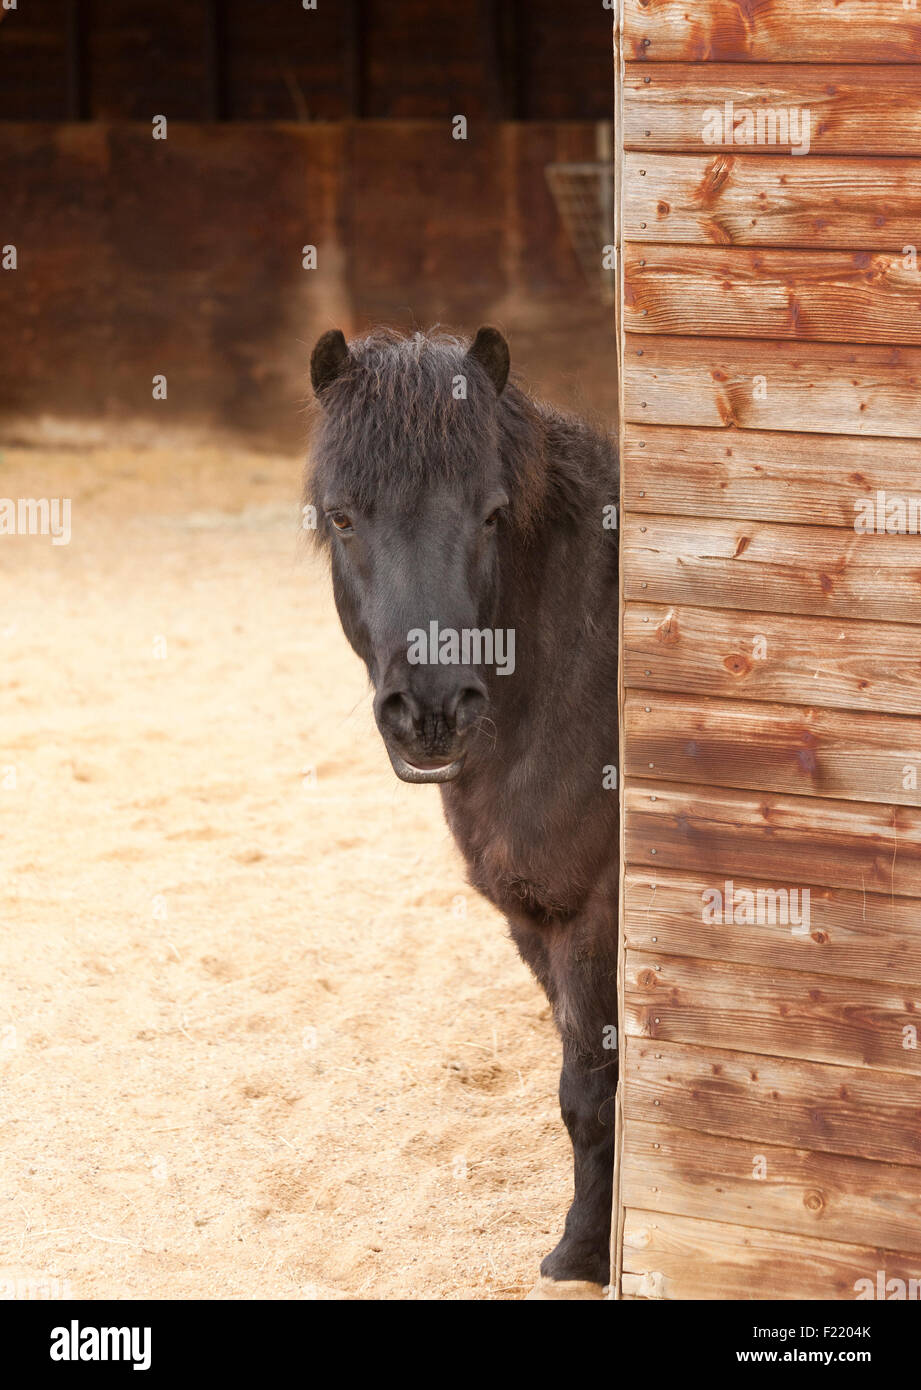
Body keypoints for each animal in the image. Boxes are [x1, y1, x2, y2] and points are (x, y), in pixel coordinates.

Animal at [306, 325, 620, 1298]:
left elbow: (594, 1089)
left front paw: (585, 1254)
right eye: (342, 517)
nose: (433, 709)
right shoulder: (531, 917)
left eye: (489, 515)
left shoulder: (595, 910)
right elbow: (579, 1085)